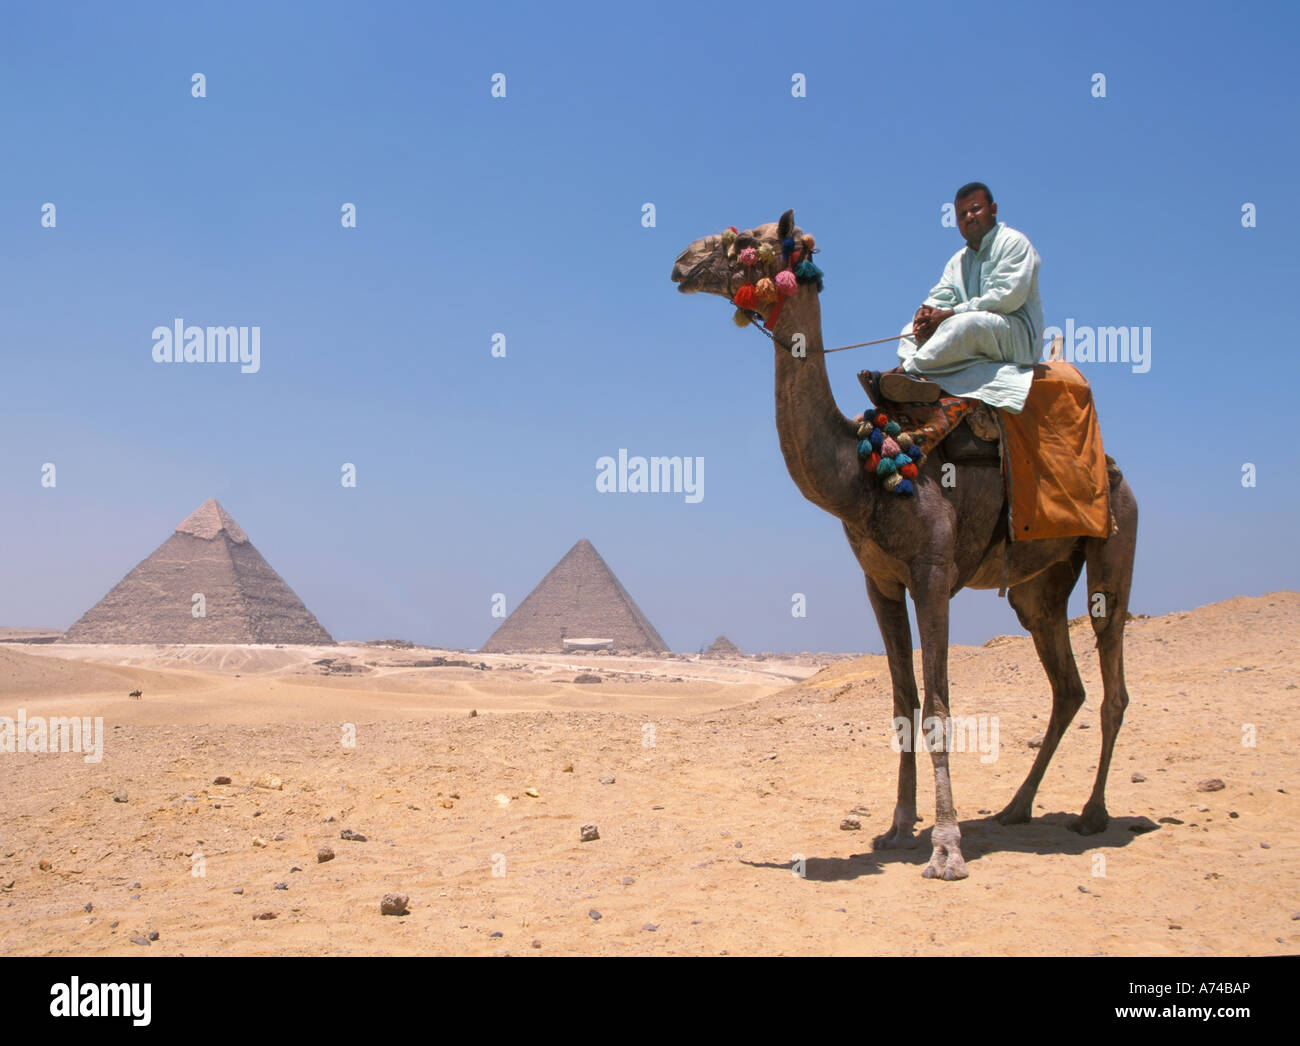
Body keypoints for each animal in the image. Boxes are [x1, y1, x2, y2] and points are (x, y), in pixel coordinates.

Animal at [671, 210, 1138, 880]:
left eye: (748, 243)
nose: (682, 262)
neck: (860, 474)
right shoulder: (880, 582)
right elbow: (903, 700)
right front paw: (896, 827)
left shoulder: (933, 573)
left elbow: (939, 703)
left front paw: (946, 847)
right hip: (1039, 585)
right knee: (1065, 681)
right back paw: (1015, 808)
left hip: (1112, 542)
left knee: (1111, 675)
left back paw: (1093, 813)